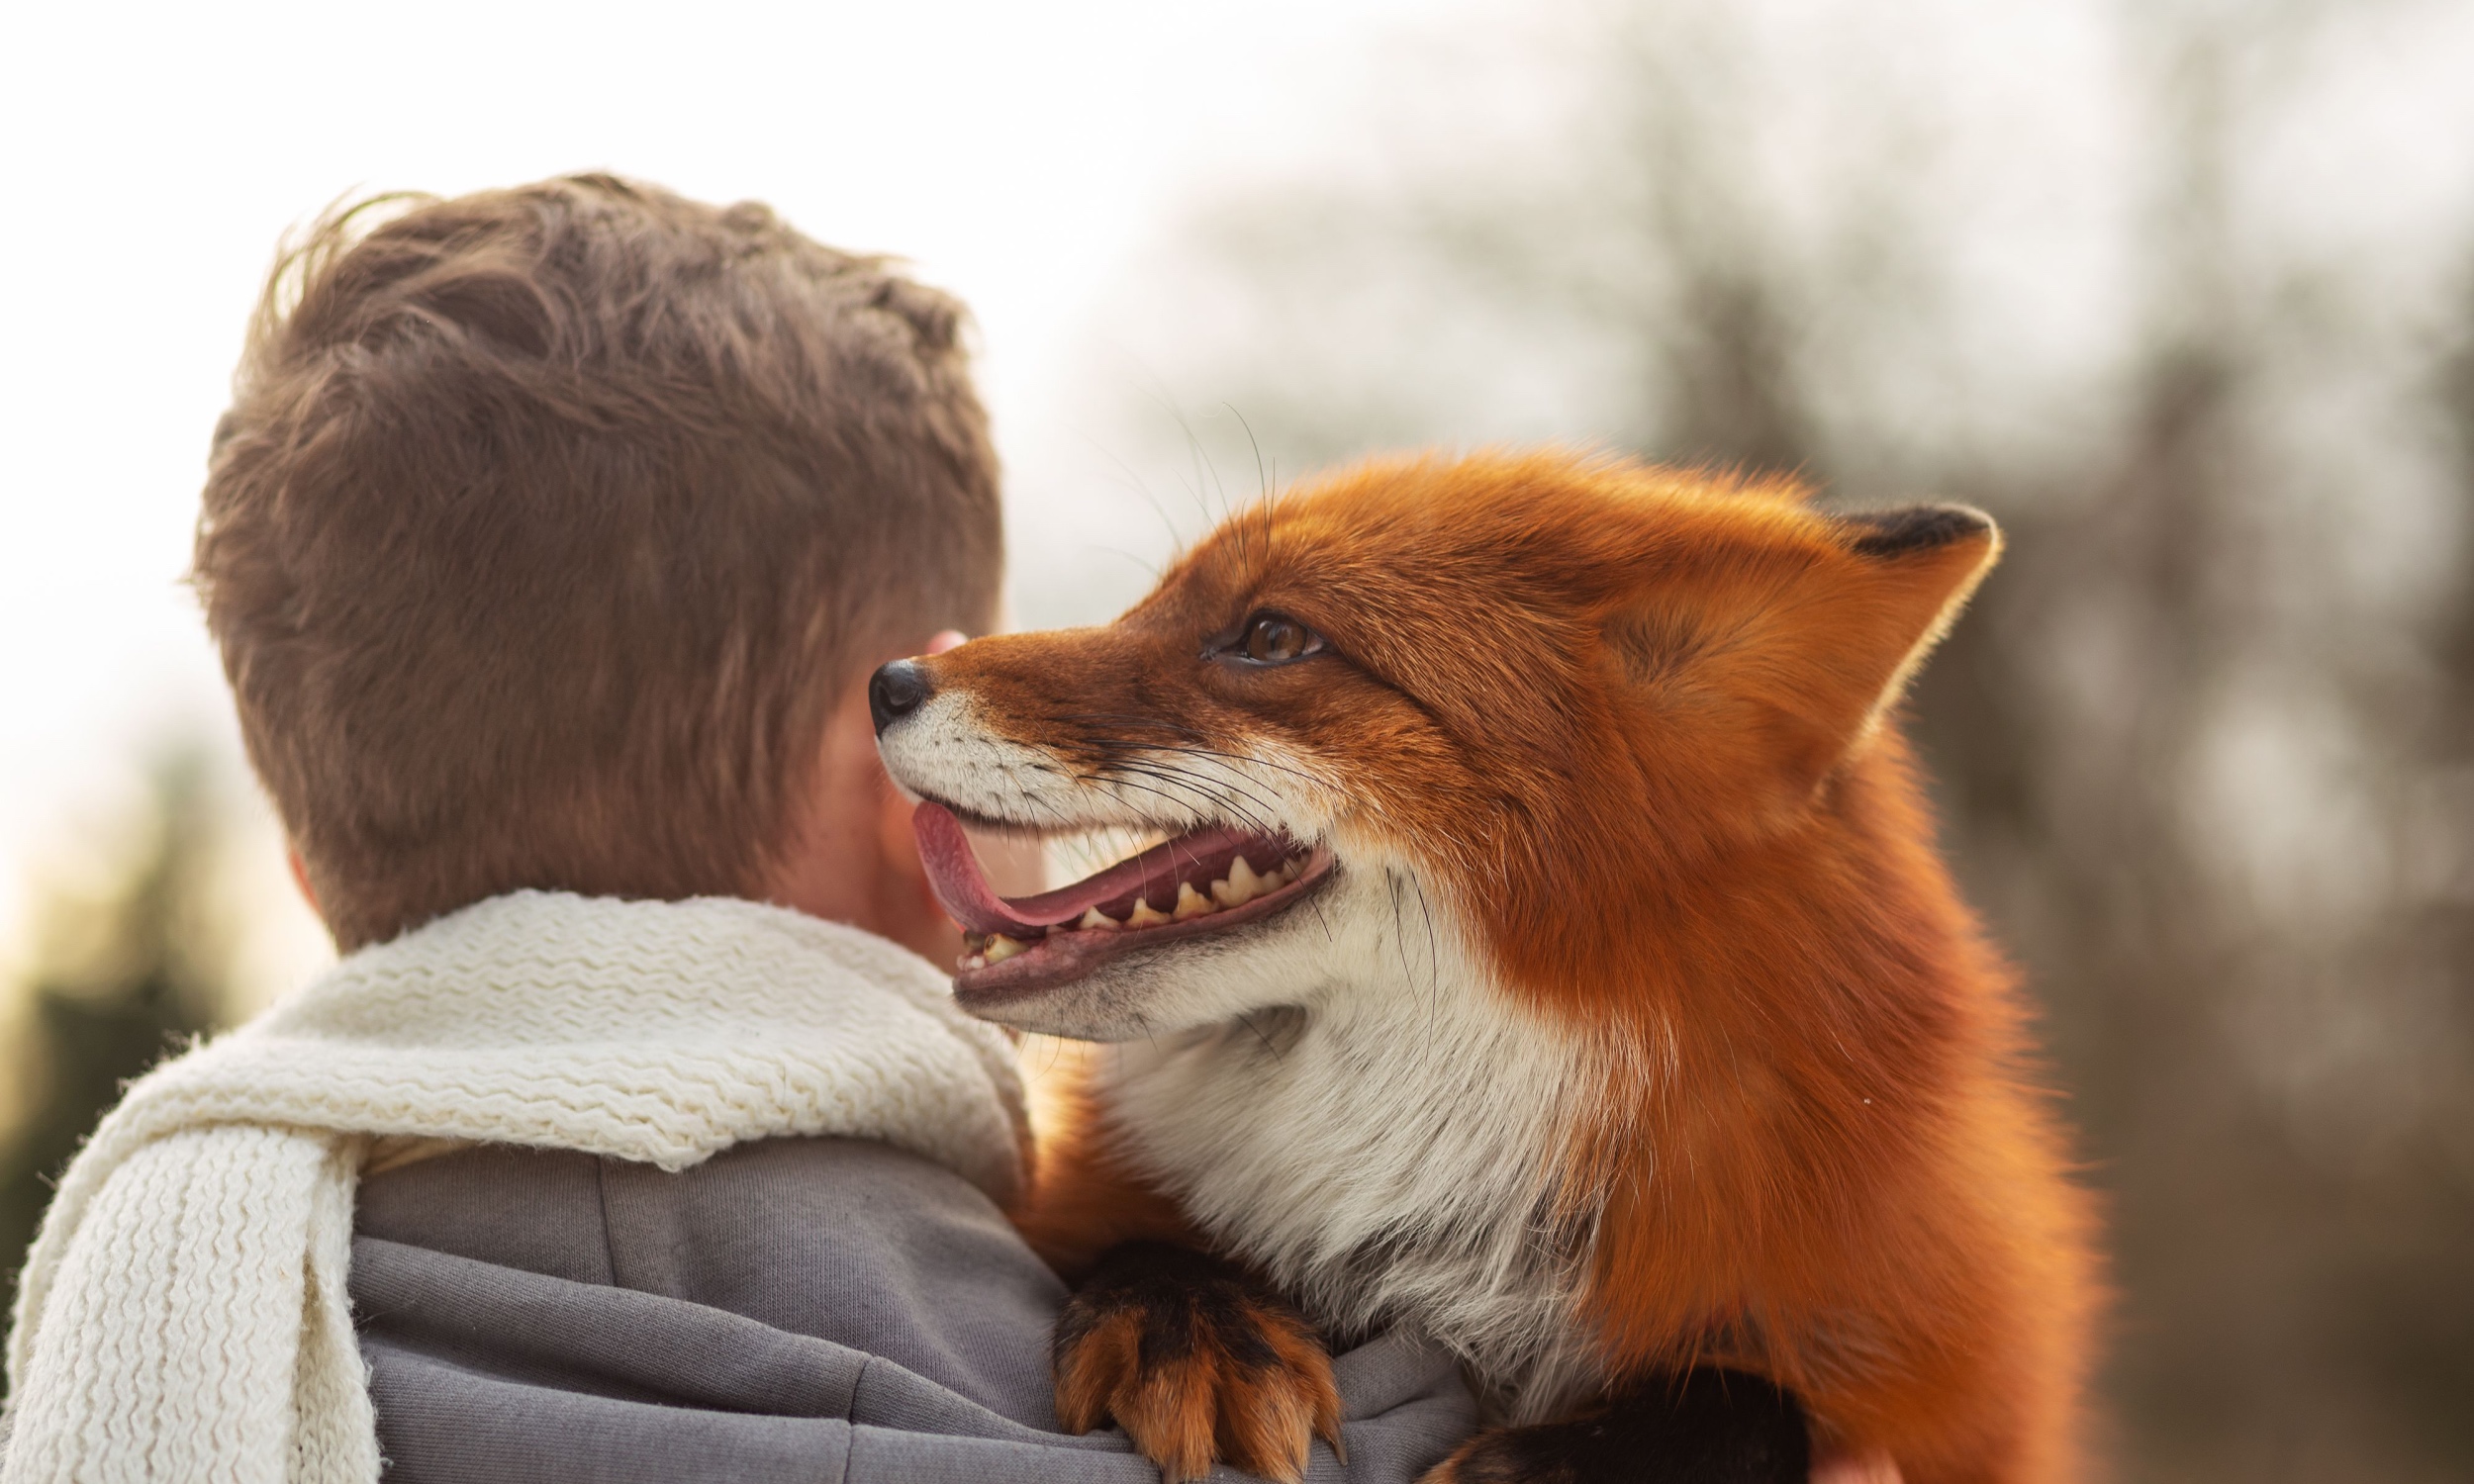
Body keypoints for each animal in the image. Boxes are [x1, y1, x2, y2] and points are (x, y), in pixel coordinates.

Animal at [869, 451, 2098, 1484]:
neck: (1452, 1226)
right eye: (1156, 605)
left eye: (1271, 637)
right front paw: (1193, 1323)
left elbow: (1757, 1402)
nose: (888, 681)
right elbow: (1144, 1244)